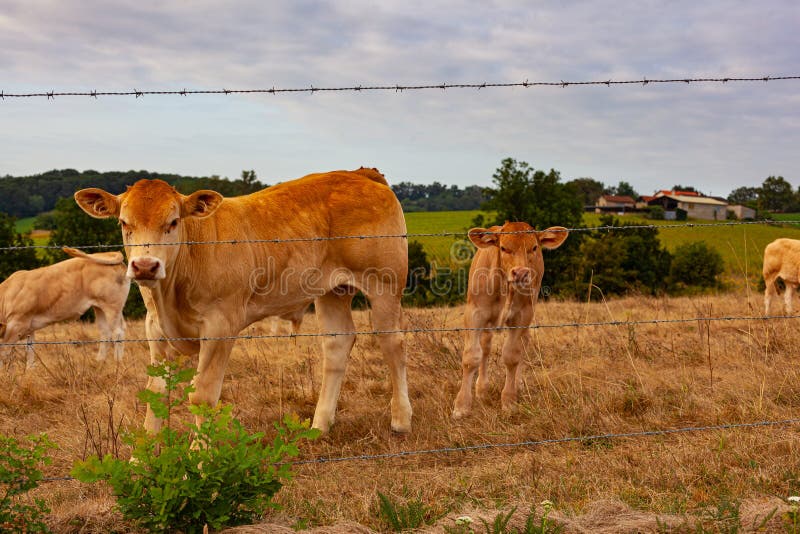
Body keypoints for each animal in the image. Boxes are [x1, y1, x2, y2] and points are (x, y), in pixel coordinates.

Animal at [0, 247, 130, 368]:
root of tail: (106, 254)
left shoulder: (17, 323)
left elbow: (4, 351)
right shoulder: (28, 326)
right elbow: (30, 350)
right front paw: (29, 371)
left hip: (112, 306)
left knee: (117, 333)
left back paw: (117, 364)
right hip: (100, 307)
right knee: (105, 332)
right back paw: (99, 363)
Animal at [74, 167, 412, 434]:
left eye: (172, 222)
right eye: (123, 222)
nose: (145, 266)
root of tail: (359, 174)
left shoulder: (220, 327)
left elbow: (203, 396)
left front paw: (199, 465)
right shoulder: (155, 329)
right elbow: (156, 394)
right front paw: (137, 463)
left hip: (384, 284)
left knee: (392, 342)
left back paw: (401, 419)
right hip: (332, 291)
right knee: (338, 343)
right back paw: (320, 425)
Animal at [452, 222, 568, 419]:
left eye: (534, 247)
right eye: (504, 248)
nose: (520, 273)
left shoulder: (522, 315)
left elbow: (512, 356)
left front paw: (509, 400)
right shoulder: (474, 313)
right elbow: (471, 357)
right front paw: (462, 405)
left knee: (524, 342)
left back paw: (517, 383)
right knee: (486, 346)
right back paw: (481, 388)